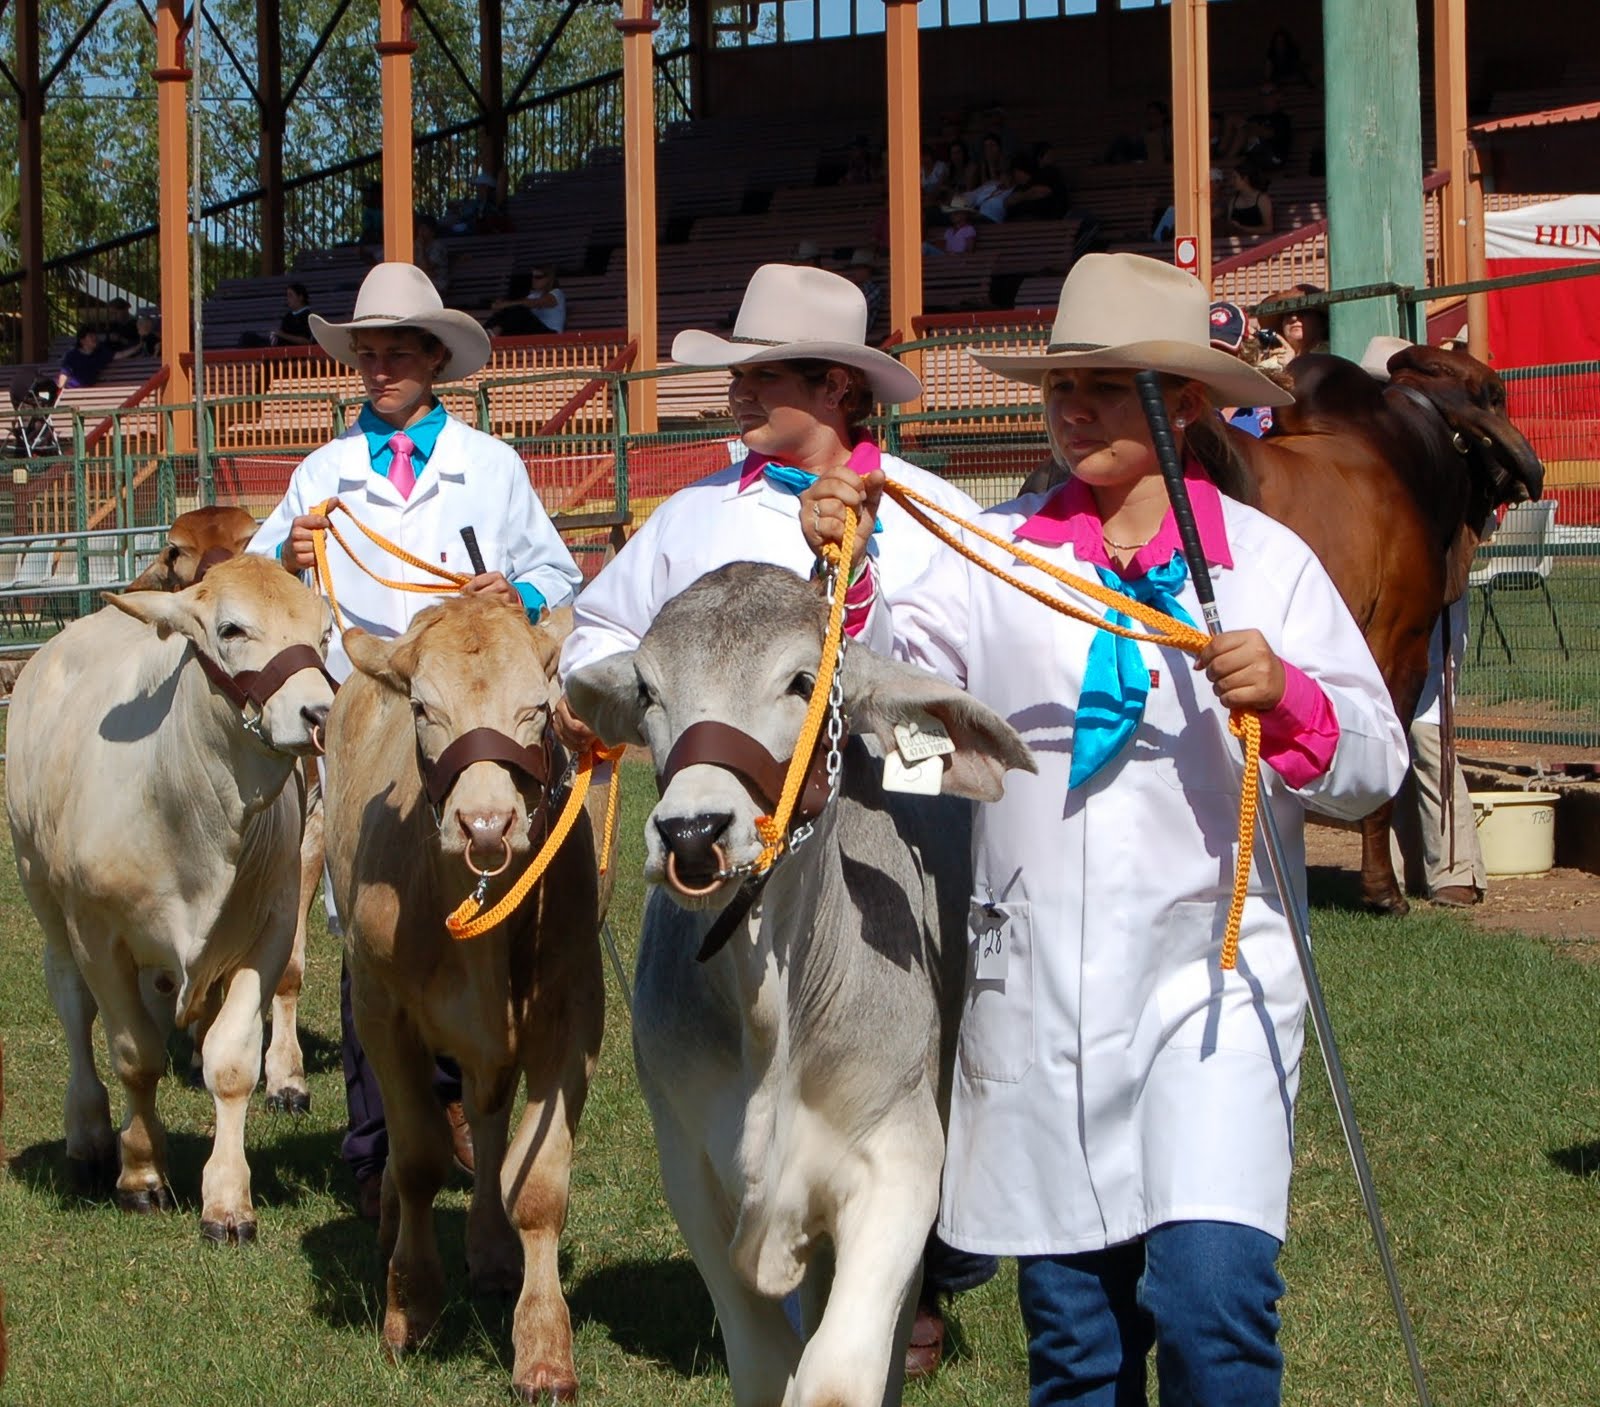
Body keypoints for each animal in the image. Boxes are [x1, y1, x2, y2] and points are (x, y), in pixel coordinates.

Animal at [5, 555, 334, 1240]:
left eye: (322, 634)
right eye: (231, 629)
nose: (319, 714)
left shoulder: (268, 927)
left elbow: (231, 1060)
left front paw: (228, 1199)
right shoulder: (98, 936)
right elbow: (134, 1055)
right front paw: (140, 1172)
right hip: (41, 889)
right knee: (74, 1006)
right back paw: (90, 1136)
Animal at [321, 594, 602, 1402]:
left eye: (538, 705)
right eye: (422, 707)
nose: (485, 823)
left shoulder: (573, 1012)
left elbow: (534, 1183)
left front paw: (542, 1345)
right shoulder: (384, 1011)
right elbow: (419, 1158)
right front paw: (410, 1305)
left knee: (487, 1116)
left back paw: (494, 1249)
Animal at [566, 562, 1033, 1407]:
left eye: (803, 682)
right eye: (648, 690)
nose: (691, 832)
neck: (769, 1013)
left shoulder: (900, 1159)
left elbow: (837, 1377)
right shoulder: (687, 1163)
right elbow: (764, 1364)